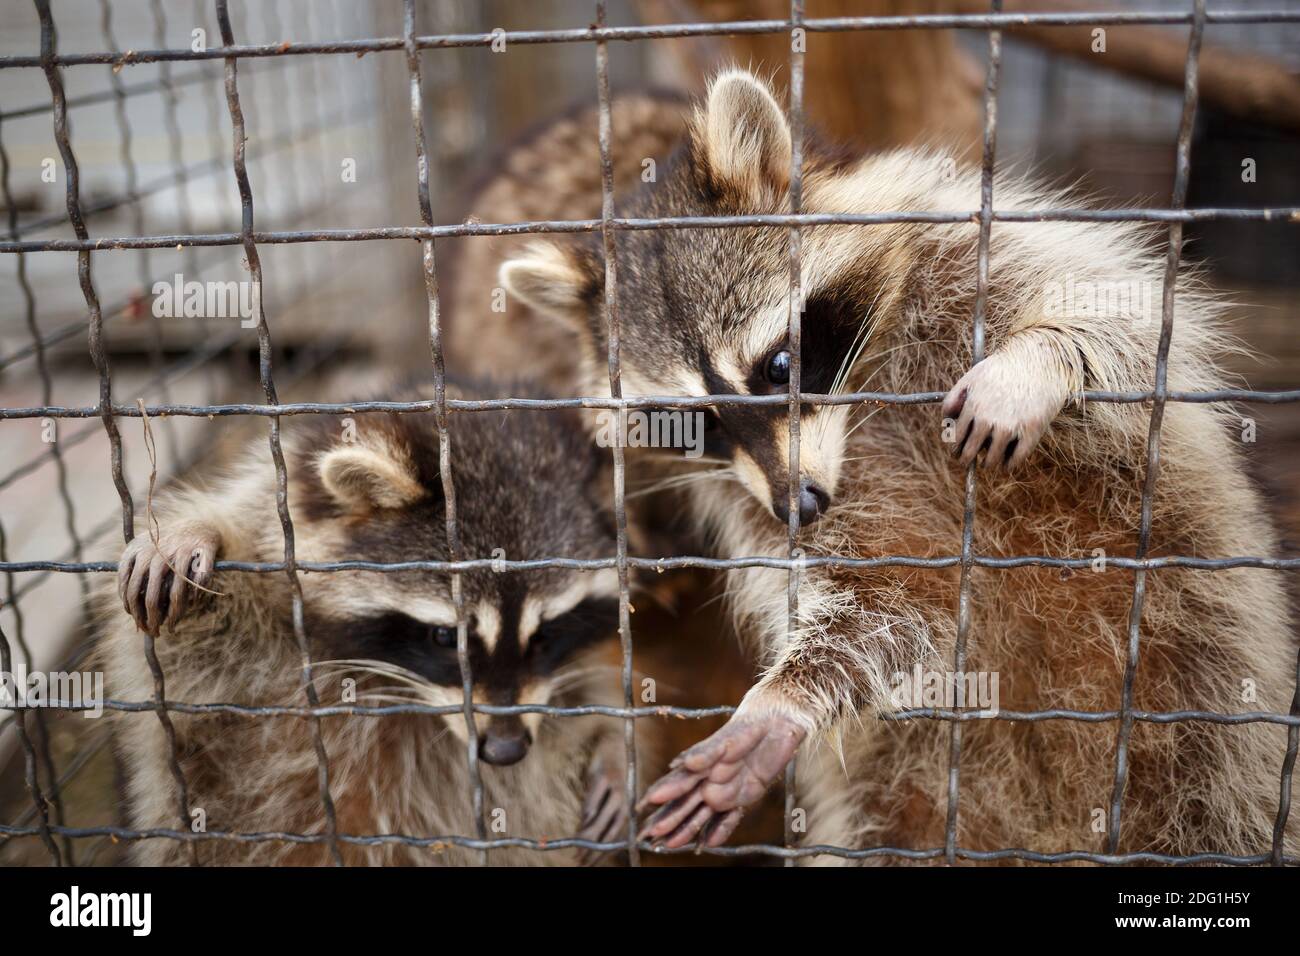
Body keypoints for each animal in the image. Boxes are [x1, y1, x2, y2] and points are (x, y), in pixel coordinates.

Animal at [98, 379, 639, 865]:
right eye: (445, 637)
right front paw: (197, 532)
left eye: (546, 633)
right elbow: (170, 678)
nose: (505, 750)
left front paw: (613, 748)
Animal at [499, 70, 1298, 862]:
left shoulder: (970, 259)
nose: (795, 507)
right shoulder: (767, 499)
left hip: (1205, 706)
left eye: (779, 366)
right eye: (695, 424)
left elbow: (1118, 324)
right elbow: (882, 599)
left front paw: (1035, 364)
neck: (859, 409)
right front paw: (782, 702)